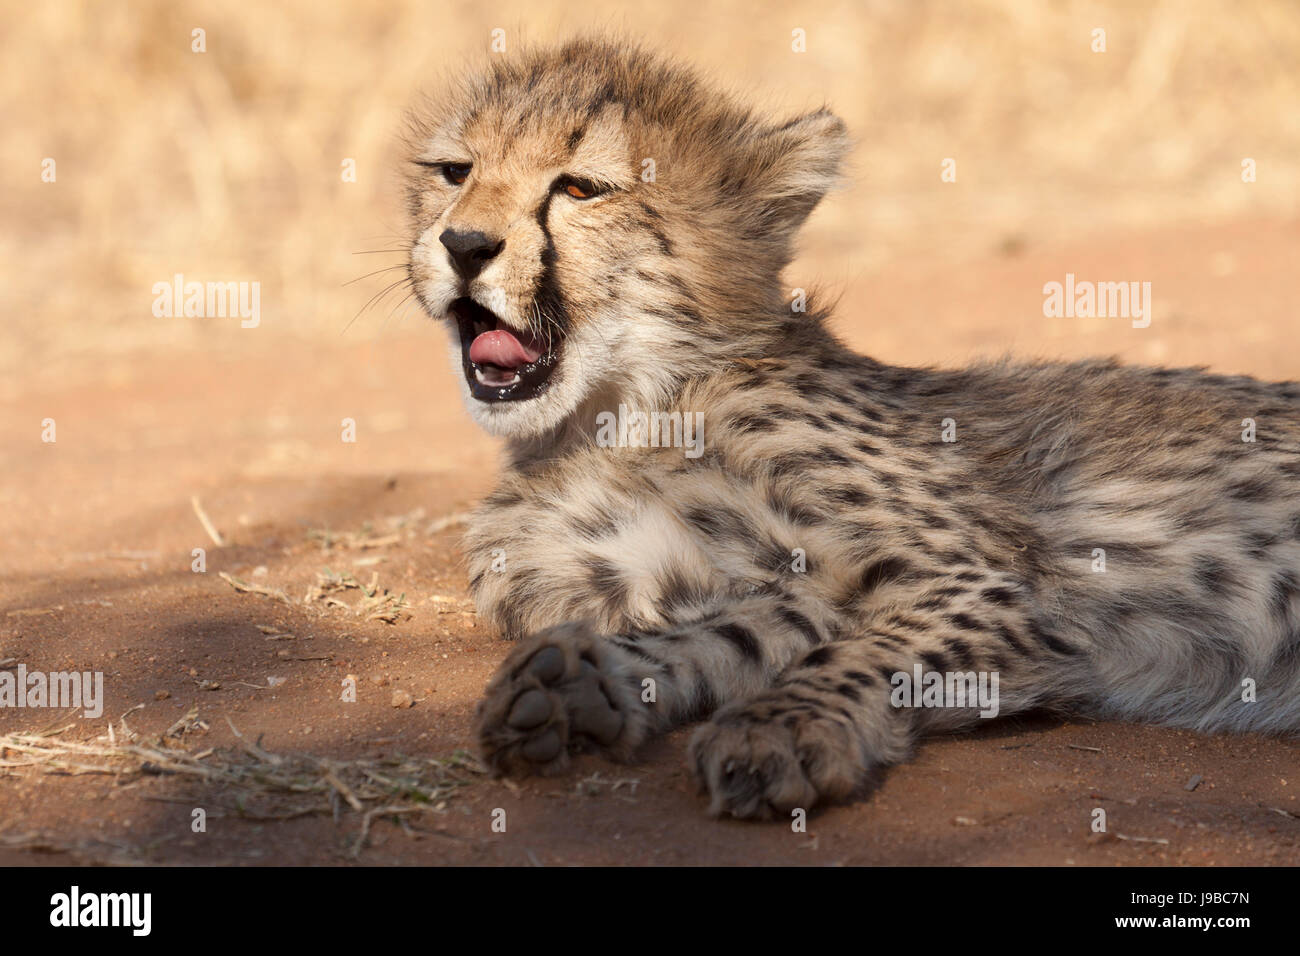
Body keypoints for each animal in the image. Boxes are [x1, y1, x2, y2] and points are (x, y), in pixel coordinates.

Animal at [403, 36, 1300, 819]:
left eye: (581, 189)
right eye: (455, 172)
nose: (464, 243)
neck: (621, 415)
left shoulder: (988, 578)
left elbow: (868, 651)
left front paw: (779, 728)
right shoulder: (780, 592)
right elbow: (719, 637)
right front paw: (578, 683)